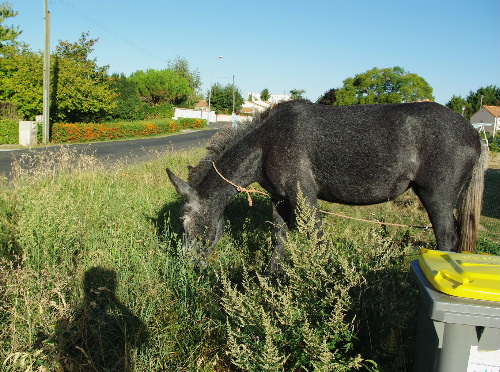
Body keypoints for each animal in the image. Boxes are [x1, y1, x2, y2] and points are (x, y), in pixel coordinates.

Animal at [166, 100, 486, 270]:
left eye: (187, 222)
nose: (190, 268)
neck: (267, 142)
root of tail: (474, 134)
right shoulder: (280, 200)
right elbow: (278, 238)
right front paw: (271, 277)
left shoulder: (304, 197)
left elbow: (318, 240)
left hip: (437, 197)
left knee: (447, 240)